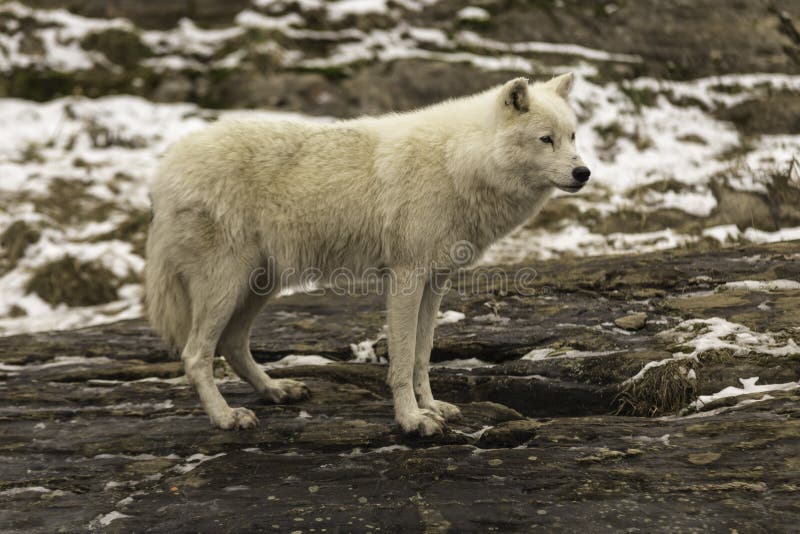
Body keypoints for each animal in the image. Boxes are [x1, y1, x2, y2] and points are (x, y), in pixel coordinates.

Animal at [145, 72, 590, 436]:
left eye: (572, 136)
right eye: (545, 139)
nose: (583, 173)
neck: (457, 162)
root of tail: (166, 167)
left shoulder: (435, 282)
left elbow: (423, 354)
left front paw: (432, 407)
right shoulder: (406, 277)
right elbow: (403, 359)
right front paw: (412, 421)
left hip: (259, 285)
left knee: (234, 344)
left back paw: (275, 390)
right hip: (226, 284)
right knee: (195, 355)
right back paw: (225, 417)